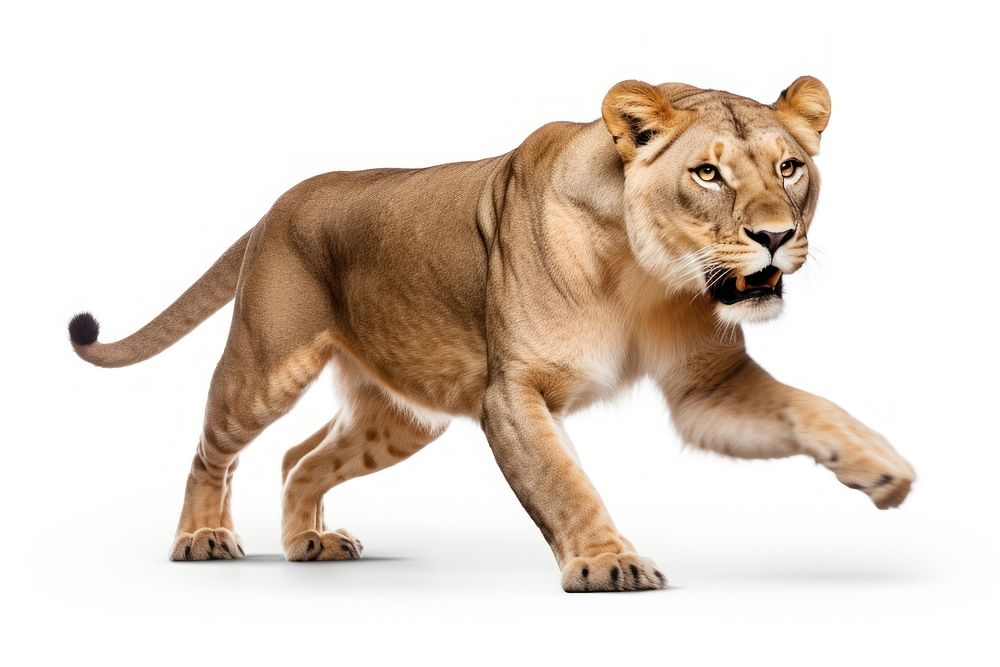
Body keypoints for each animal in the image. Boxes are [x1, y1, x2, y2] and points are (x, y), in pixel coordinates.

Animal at [68, 76, 915, 592]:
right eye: (708, 174)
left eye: (790, 167)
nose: (775, 237)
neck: (645, 274)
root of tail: (280, 201)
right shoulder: (511, 390)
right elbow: (564, 482)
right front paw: (607, 563)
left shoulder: (707, 387)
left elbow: (809, 407)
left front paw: (880, 466)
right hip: (265, 365)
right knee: (213, 448)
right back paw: (201, 538)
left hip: (403, 414)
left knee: (298, 456)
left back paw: (310, 543)